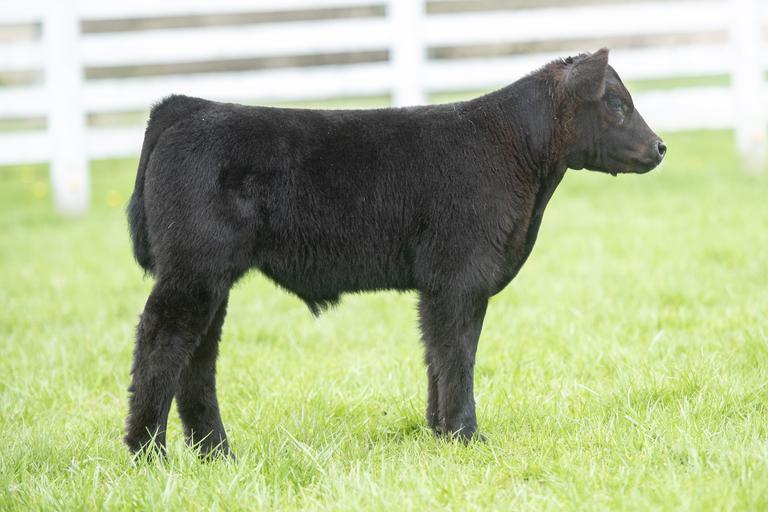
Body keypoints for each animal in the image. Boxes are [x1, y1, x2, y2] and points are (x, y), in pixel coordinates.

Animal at [124, 48, 665, 457]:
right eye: (616, 104)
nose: (660, 147)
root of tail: (189, 106)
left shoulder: (439, 286)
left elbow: (436, 355)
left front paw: (440, 433)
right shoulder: (460, 278)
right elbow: (458, 355)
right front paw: (466, 436)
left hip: (211, 280)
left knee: (198, 357)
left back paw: (216, 453)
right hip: (193, 273)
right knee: (160, 343)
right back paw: (149, 453)